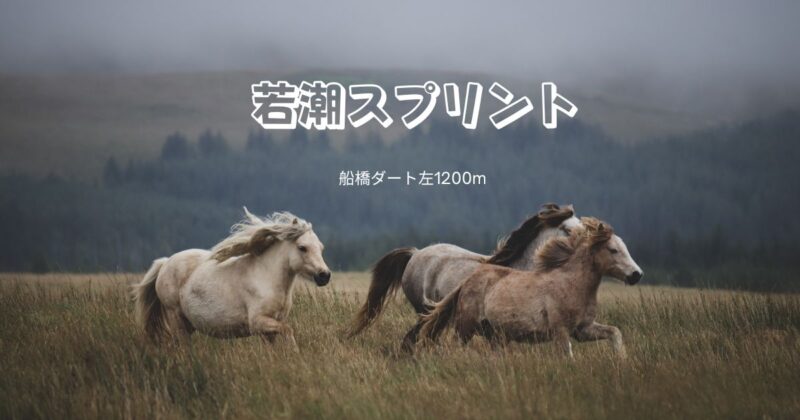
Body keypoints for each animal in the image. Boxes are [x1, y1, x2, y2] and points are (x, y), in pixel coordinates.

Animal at [132, 209, 331, 350]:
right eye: (302, 247)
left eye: (321, 248)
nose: (324, 275)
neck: (267, 278)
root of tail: (165, 263)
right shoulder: (258, 322)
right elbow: (288, 330)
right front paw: (295, 352)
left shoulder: (269, 328)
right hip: (175, 317)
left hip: (187, 324)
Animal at [417, 217, 642, 358]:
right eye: (613, 250)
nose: (636, 275)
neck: (572, 284)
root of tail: (467, 281)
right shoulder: (561, 331)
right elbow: (568, 355)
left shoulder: (583, 330)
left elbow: (615, 332)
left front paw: (621, 359)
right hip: (466, 326)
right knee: (454, 346)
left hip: (495, 335)